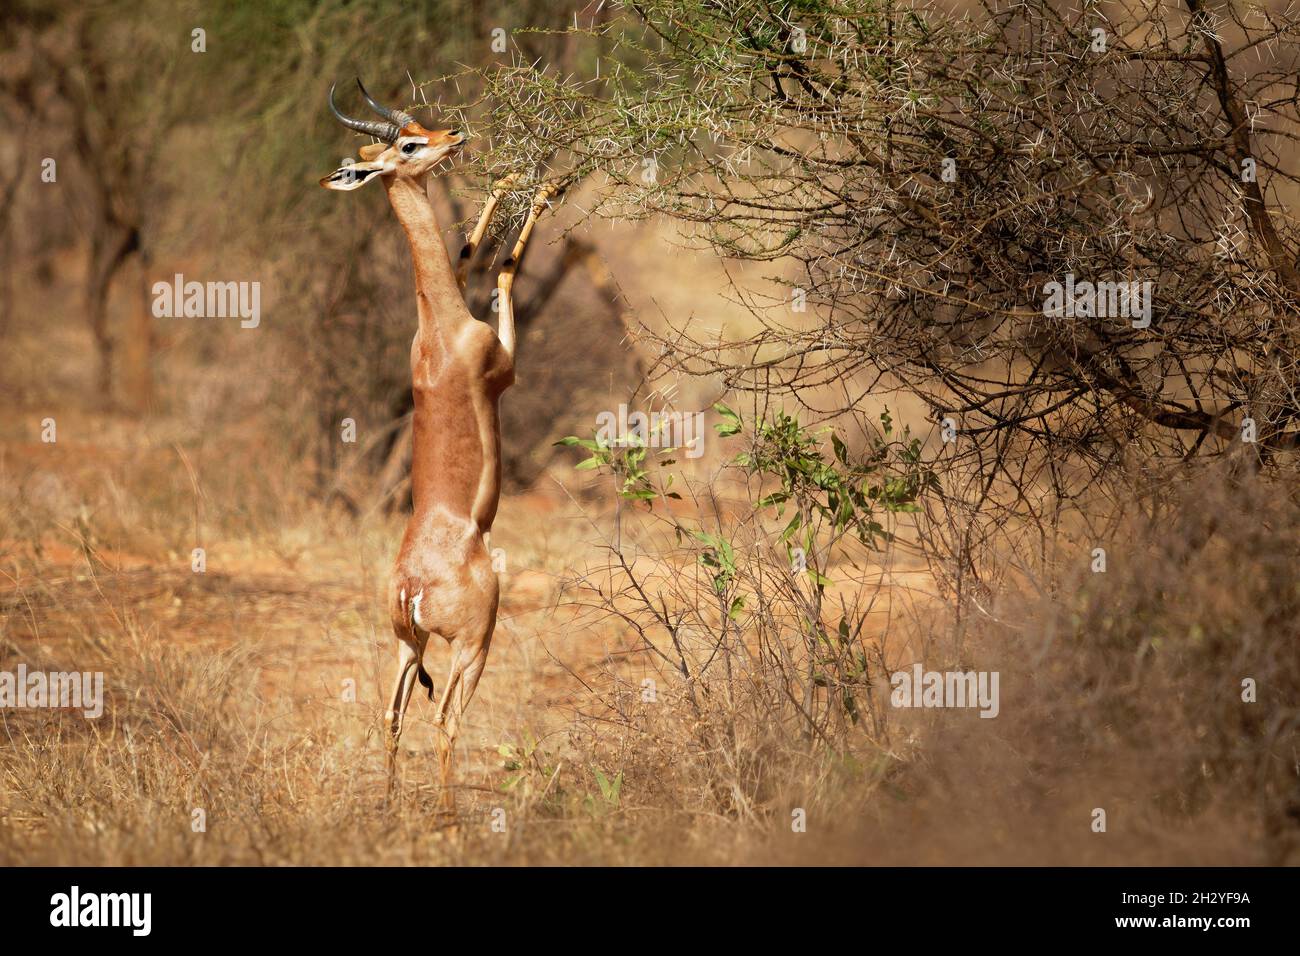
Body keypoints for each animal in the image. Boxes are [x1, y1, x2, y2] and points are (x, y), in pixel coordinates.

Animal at [321, 79, 557, 809]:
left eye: (418, 126)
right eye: (407, 144)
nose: (454, 136)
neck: (440, 328)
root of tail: (411, 588)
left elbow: (472, 254)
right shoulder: (506, 366)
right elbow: (503, 268)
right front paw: (542, 184)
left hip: (409, 647)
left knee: (392, 716)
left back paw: (391, 807)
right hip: (472, 642)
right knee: (447, 722)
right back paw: (452, 818)